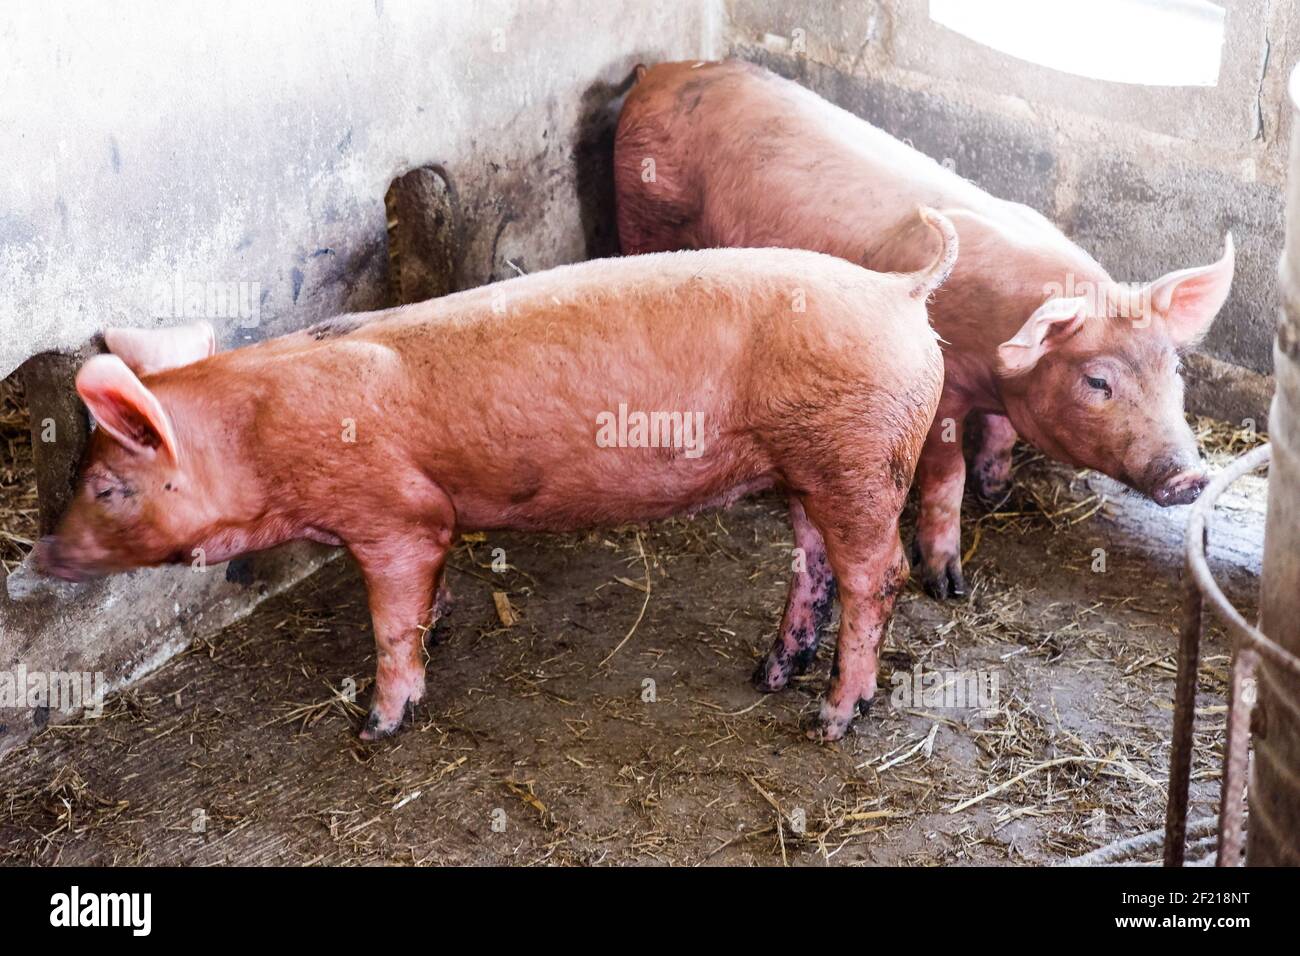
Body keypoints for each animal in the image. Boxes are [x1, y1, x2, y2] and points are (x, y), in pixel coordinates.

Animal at [37, 236, 954, 741]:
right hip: (809, 465)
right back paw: (767, 675)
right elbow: (430, 594)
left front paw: (378, 724)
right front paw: (442, 630)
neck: (258, 444)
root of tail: (900, 290)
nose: (41, 556)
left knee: (879, 576)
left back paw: (830, 720)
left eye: (110, 488)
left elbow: (391, 618)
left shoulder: (394, 516)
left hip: (860, 459)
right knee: (814, 566)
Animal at [615, 60, 1235, 602]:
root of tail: (663, 71)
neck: (995, 363)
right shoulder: (942, 390)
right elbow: (944, 474)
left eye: (1174, 368)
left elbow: (1000, 433)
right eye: (1098, 382)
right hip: (643, 209)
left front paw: (996, 490)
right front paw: (948, 586)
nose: (1191, 477)